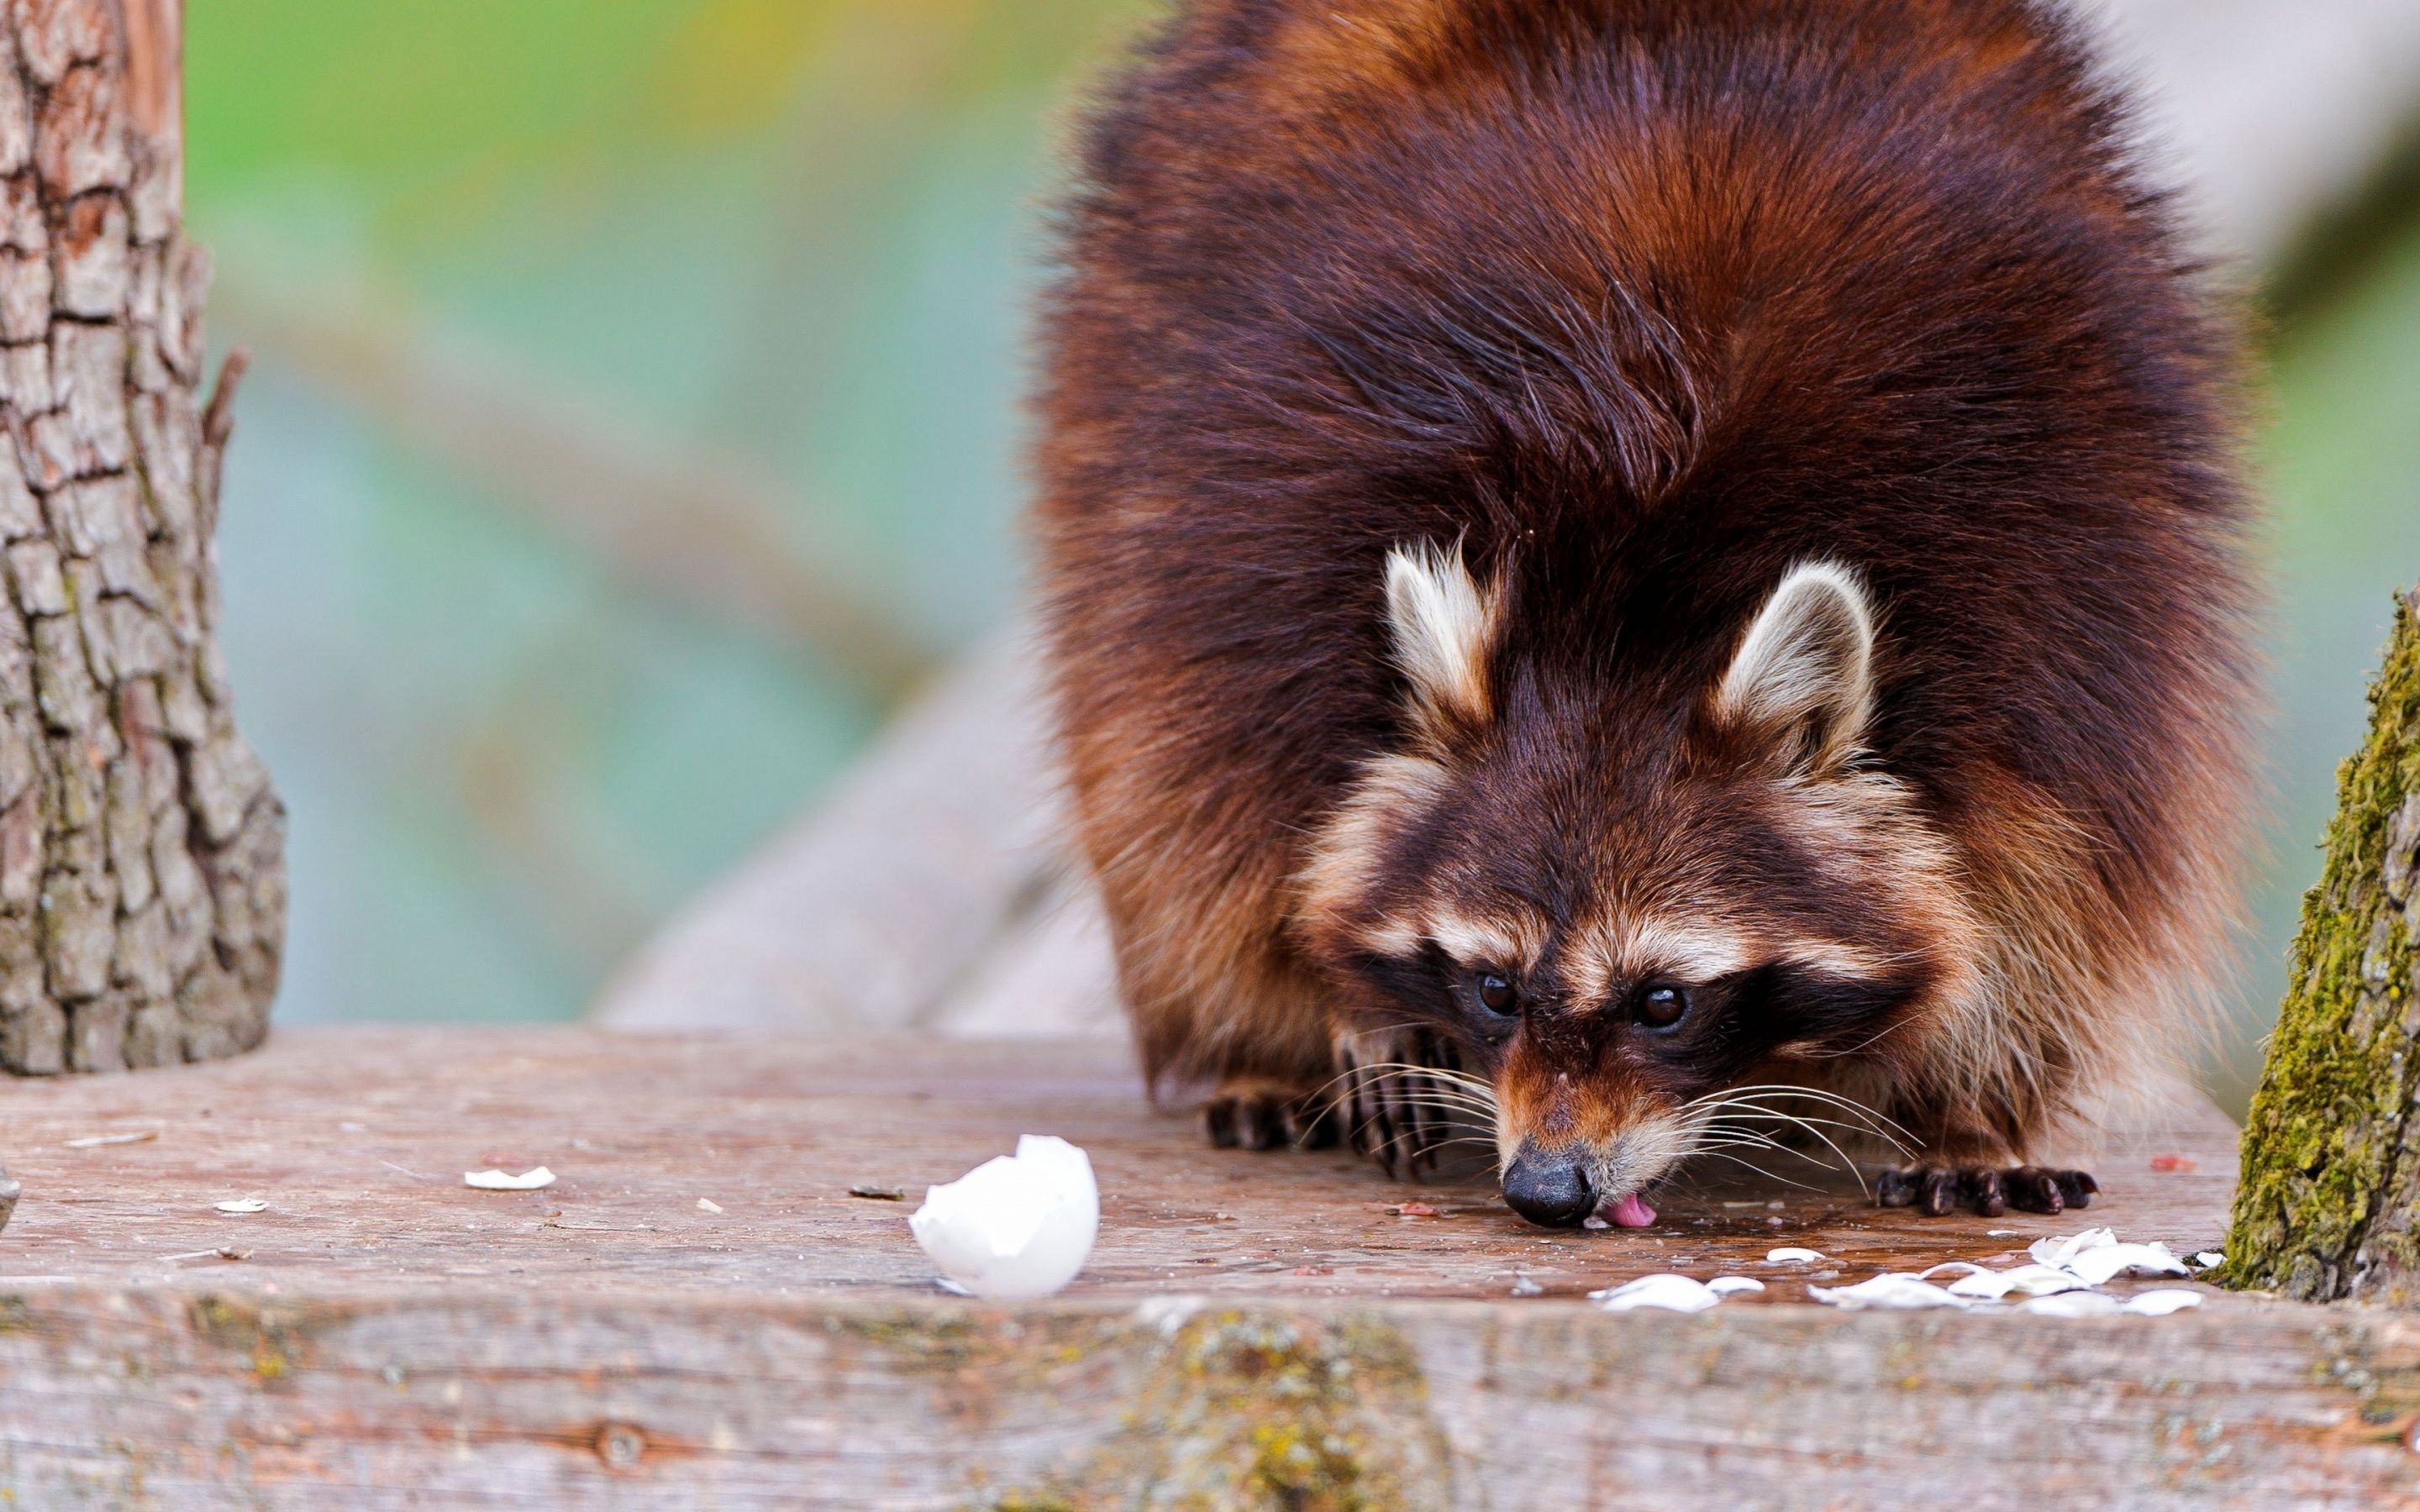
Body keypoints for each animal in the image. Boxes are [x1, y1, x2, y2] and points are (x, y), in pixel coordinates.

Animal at [1032, 0, 2253, 1226]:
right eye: (1494, 987)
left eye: (1663, 1001)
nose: (1547, 1189)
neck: (1627, 621)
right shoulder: (1263, 555)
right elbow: (1242, 802)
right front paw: (1351, 1006)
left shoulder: (2059, 592)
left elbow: (2058, 866)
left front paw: (1976, 1093)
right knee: (1160, 808)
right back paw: (1260, 1047)